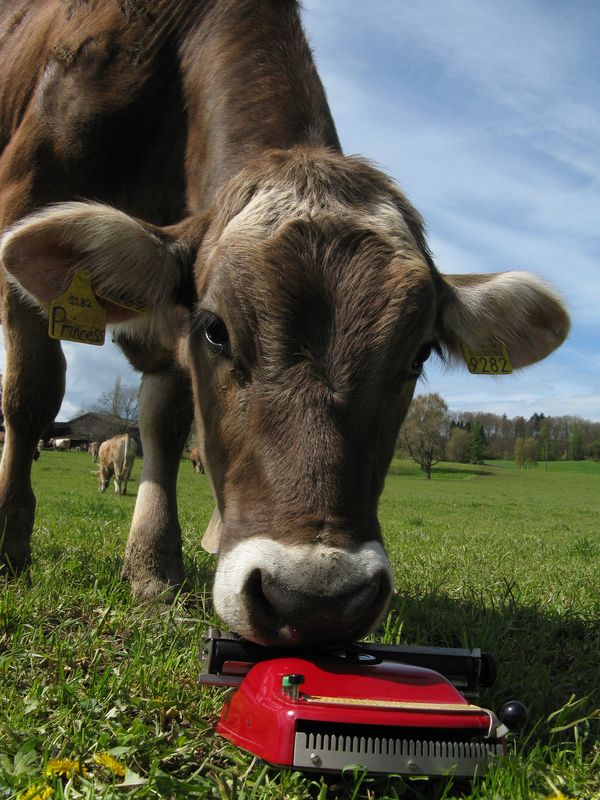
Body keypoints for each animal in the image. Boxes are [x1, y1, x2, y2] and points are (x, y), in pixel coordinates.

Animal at [0, 1, 569, 647]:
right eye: (216, 329)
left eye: (419, 354)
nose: (316, 601)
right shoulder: (28, 191)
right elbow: (31, 393)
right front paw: (12, 545)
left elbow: (165, 422)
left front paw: (153, 569)